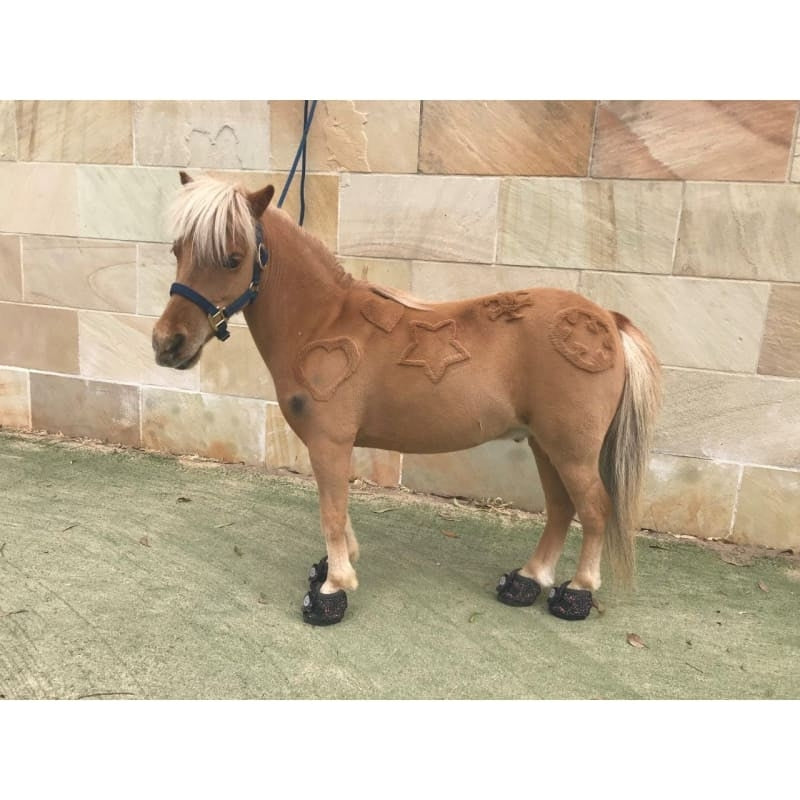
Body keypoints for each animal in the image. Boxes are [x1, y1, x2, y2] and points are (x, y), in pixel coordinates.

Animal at [152, 171, 661, 625]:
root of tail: (605, 320)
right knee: (561, 509)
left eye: (232, 258)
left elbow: (331, 511)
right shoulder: (331, 445)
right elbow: (337, 505)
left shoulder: (330, 441)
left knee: (594, 509)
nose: (167, 344)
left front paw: (332, 590)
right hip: (545, 444)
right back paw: (526, 581)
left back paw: (577, 593)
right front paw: (335, 567)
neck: (322, 322)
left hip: (571, 449)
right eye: (177, 250)